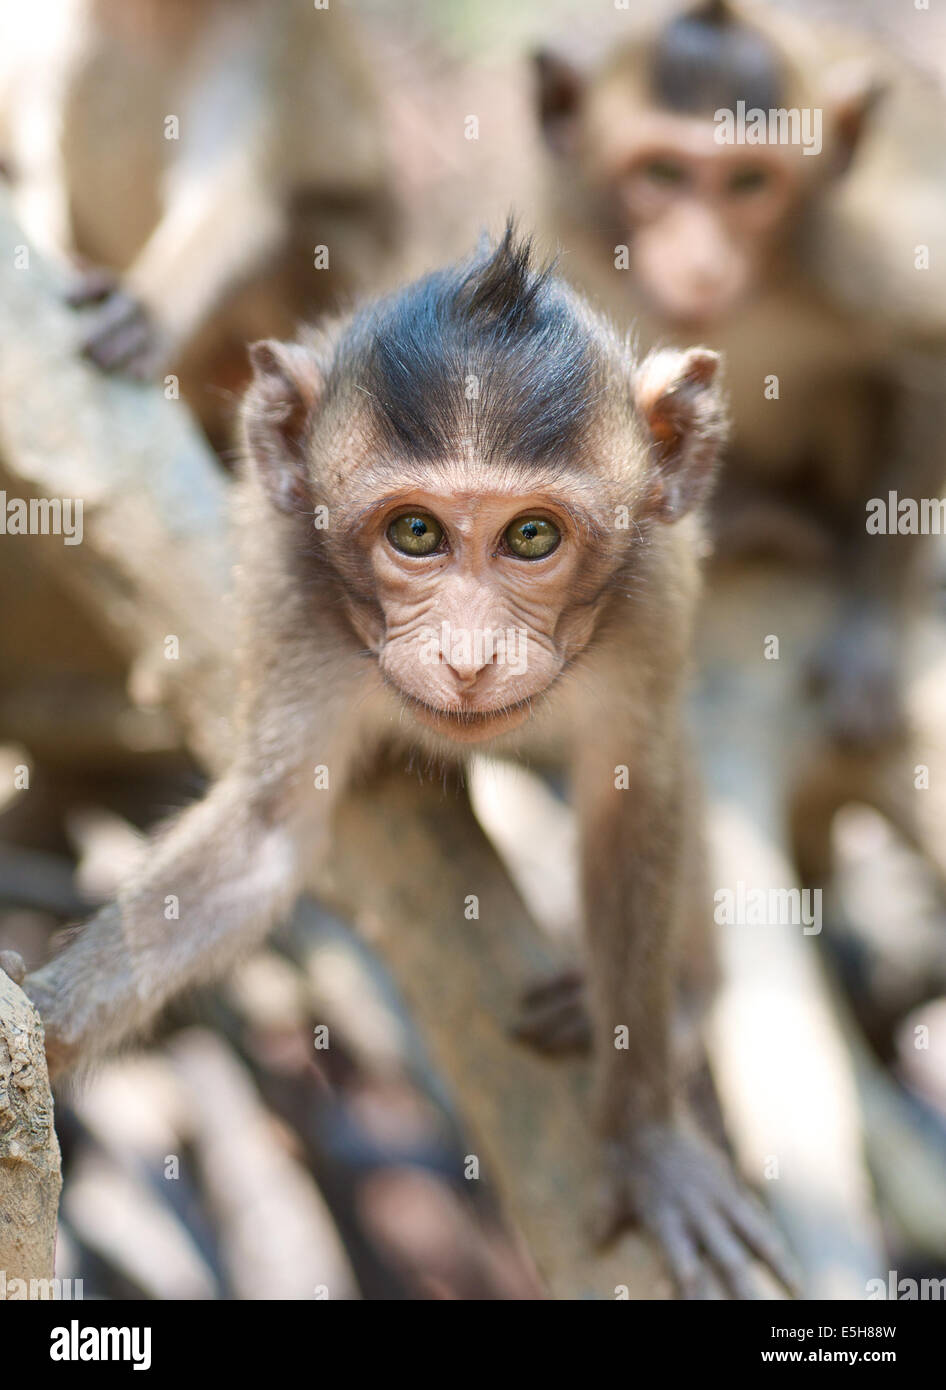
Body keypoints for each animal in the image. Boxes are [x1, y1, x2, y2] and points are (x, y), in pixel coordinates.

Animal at [23, 230, 794, 1299]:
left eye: (532, 535)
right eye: (416, 532)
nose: (469, 657)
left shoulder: (652, 599)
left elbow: (633, 802)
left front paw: (648, 1144)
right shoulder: (291, 590)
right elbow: (268, 835)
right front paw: (43, 1022)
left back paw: (679, 994)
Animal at [533, 0, 946, 753]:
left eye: (749, 182)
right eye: (663, 174)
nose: (701, 264)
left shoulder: (863, 246)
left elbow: (923, 353)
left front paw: (869, 630)